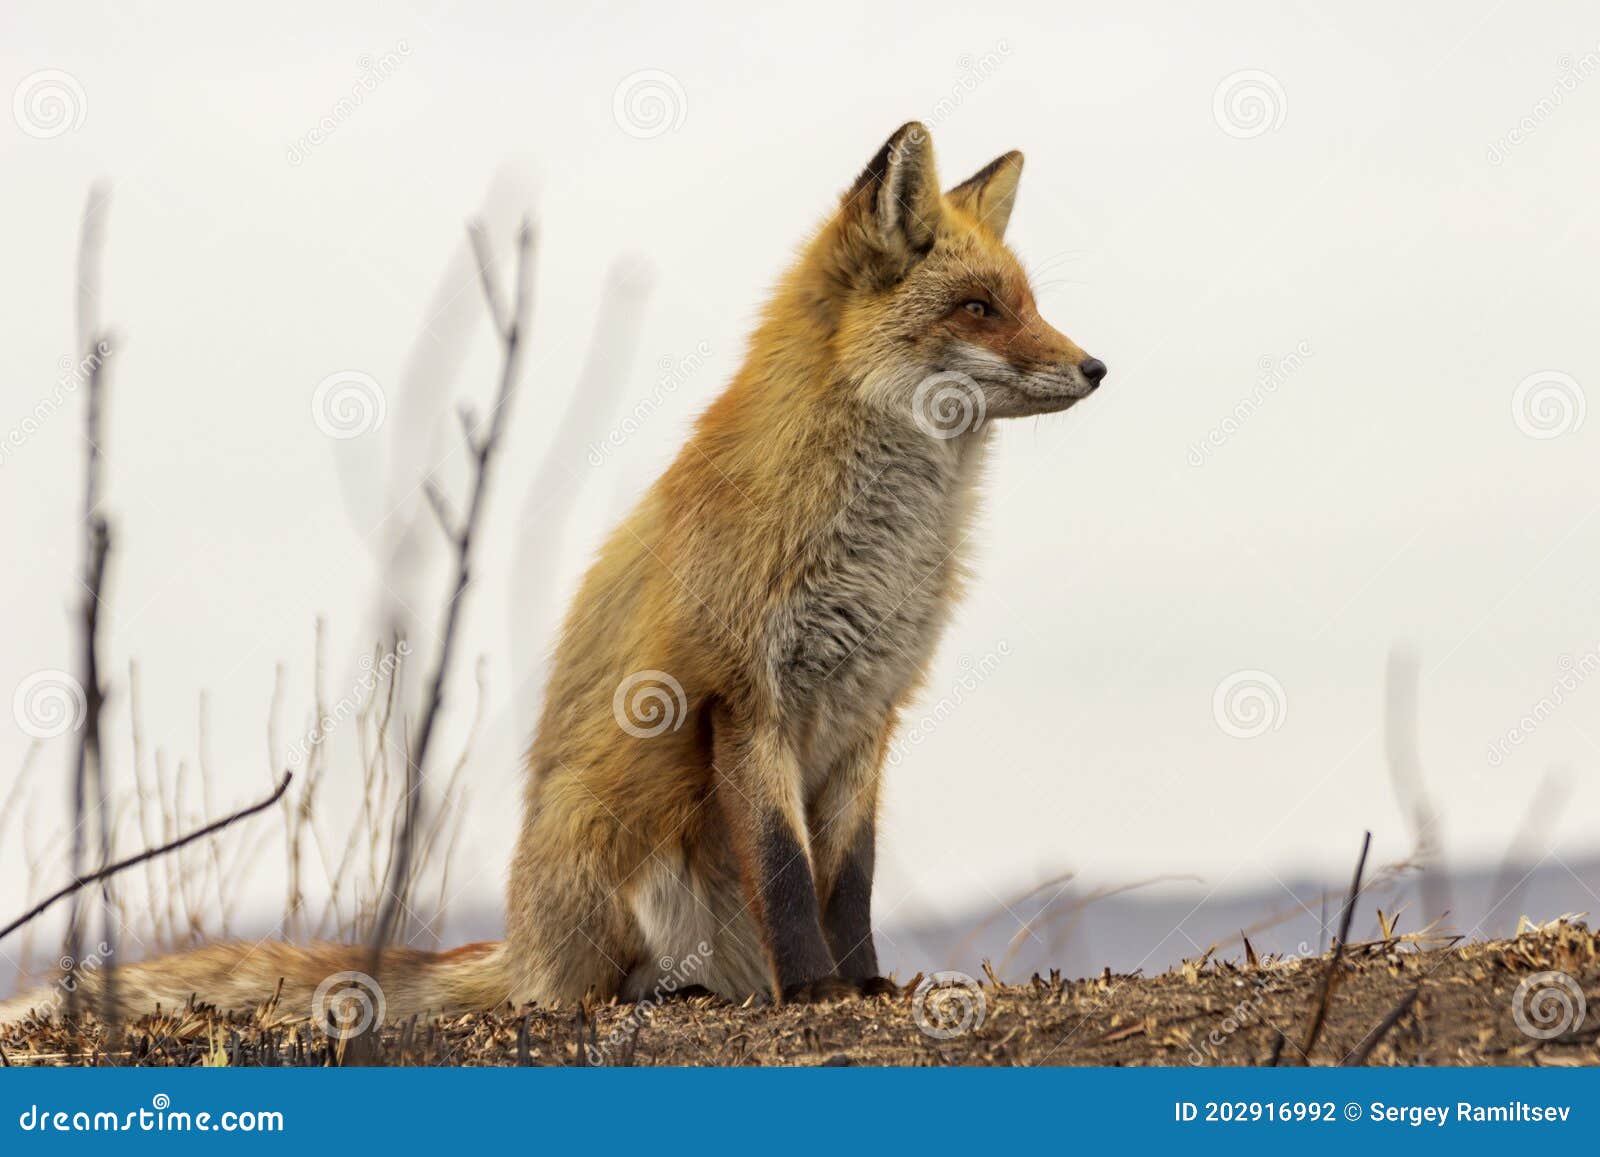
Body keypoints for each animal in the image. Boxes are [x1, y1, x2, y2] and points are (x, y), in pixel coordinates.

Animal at [0, 121, 1106, 1028]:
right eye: (979, 307)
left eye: (1028, 304)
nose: (1097, 367)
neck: (883, 544)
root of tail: (523, 940)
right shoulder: (744, 697)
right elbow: (792, 878)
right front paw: (815, 989)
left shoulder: (870, 710)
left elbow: (851, 882)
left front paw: (865, 979)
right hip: (616, 842)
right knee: (577, 991)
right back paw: (675, 992)